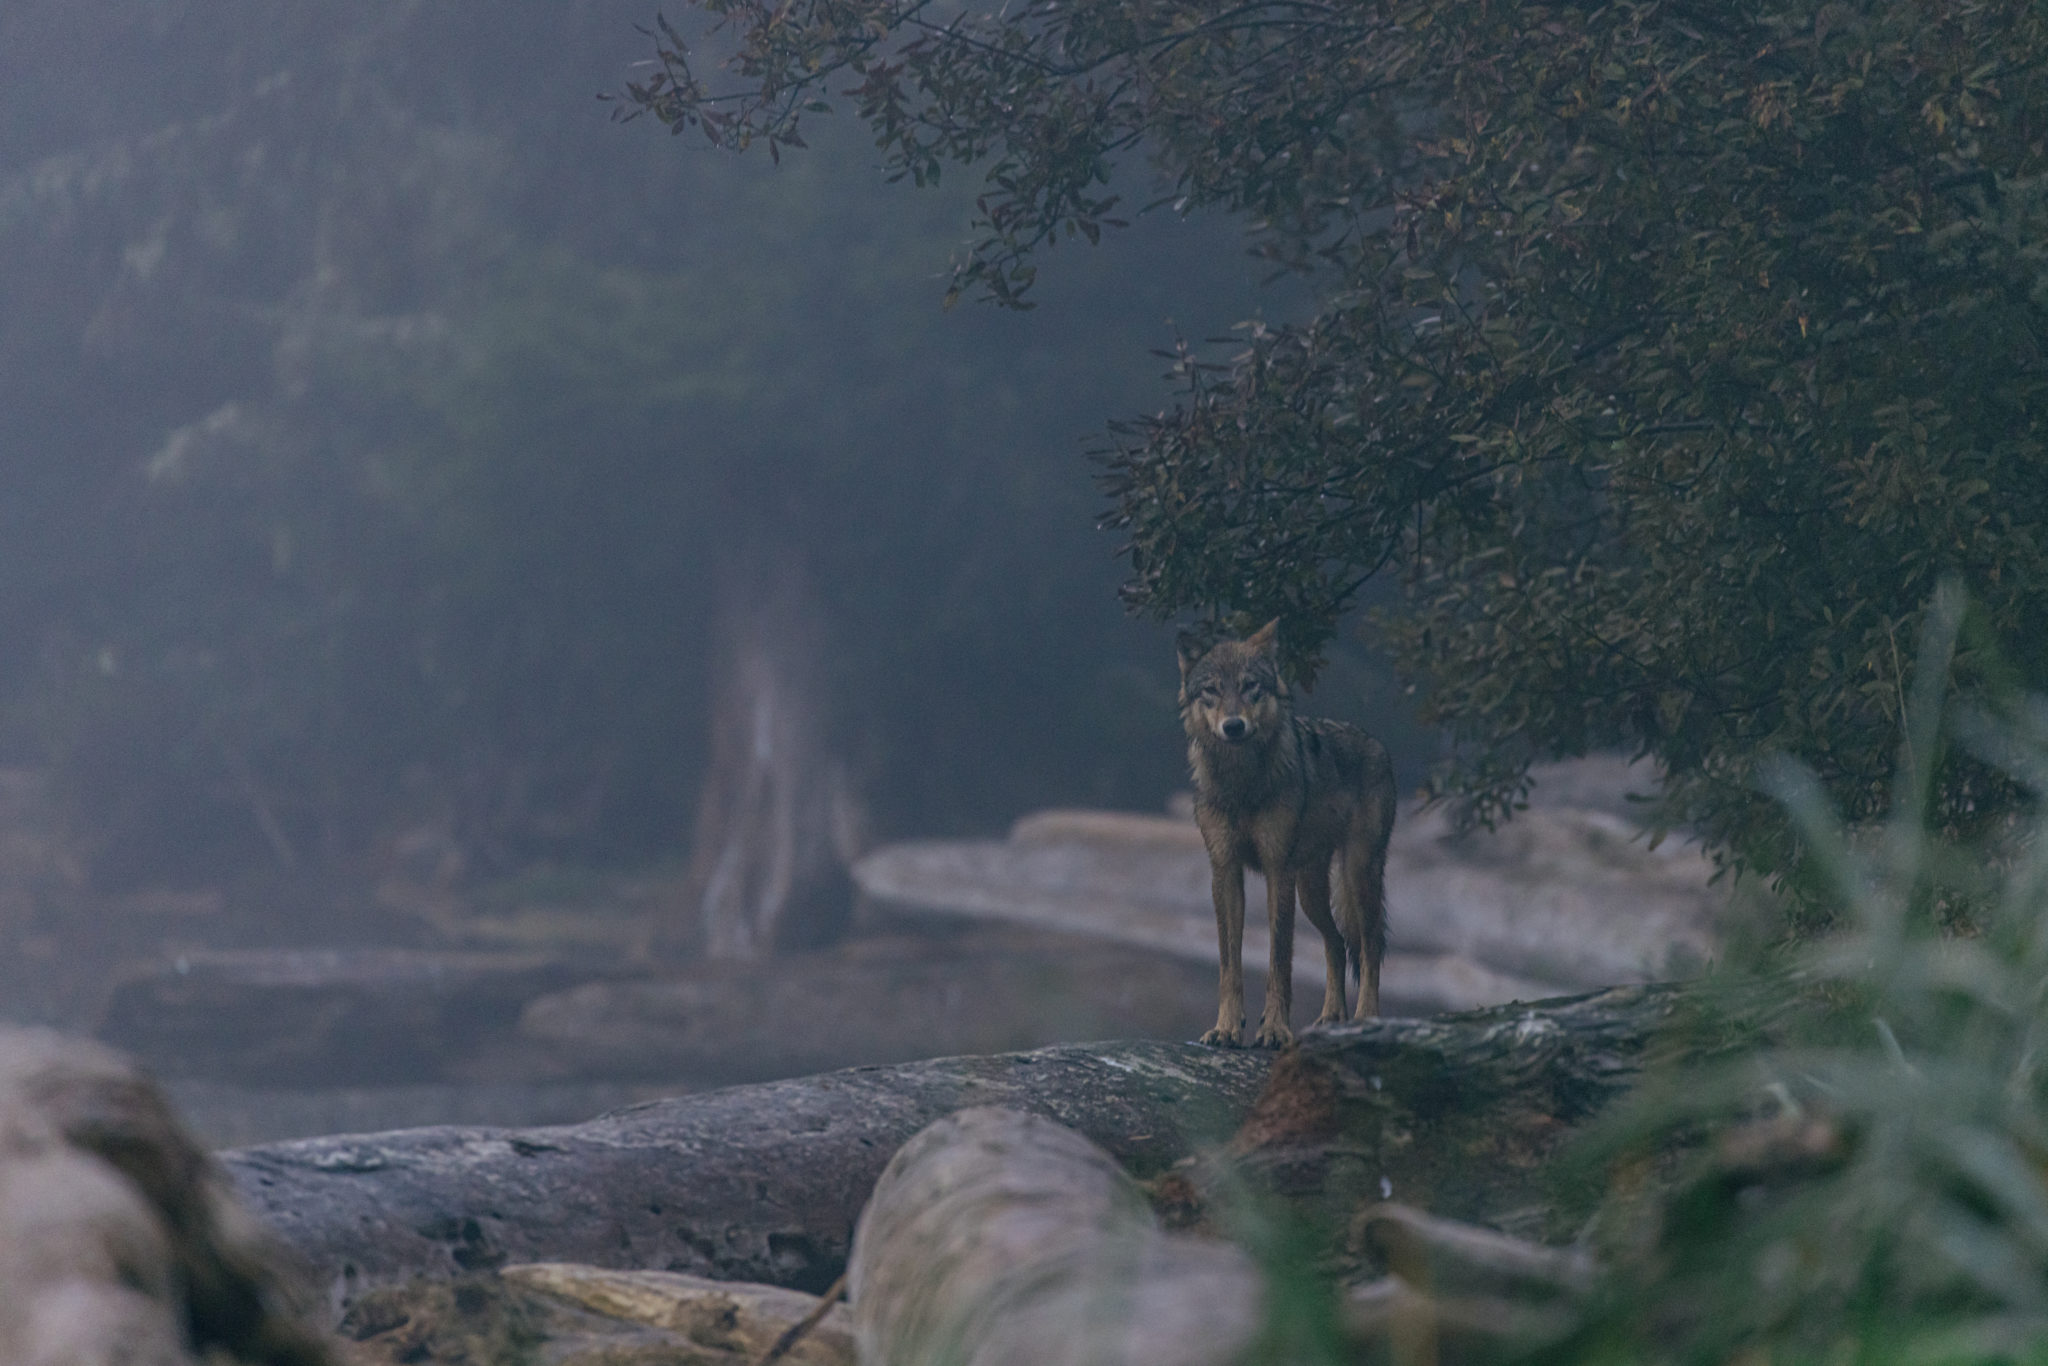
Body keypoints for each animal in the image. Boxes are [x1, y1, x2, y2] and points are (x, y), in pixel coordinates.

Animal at [1178, 620, 1397, 1047]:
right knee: (1336, 942)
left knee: (1370, 946)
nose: (1233, 725)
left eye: (1250, 686)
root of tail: (1376, 741)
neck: (1242, 783)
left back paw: (1365, 1018)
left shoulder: (1277, 869)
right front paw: (1226, 1028)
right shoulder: (1225, 870)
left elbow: (1279, 958)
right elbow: (1229, 963)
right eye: (1212, 689)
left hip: (1357, 874)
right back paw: (1331, 1017)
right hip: (1310, 889)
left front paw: (1275, 1030)